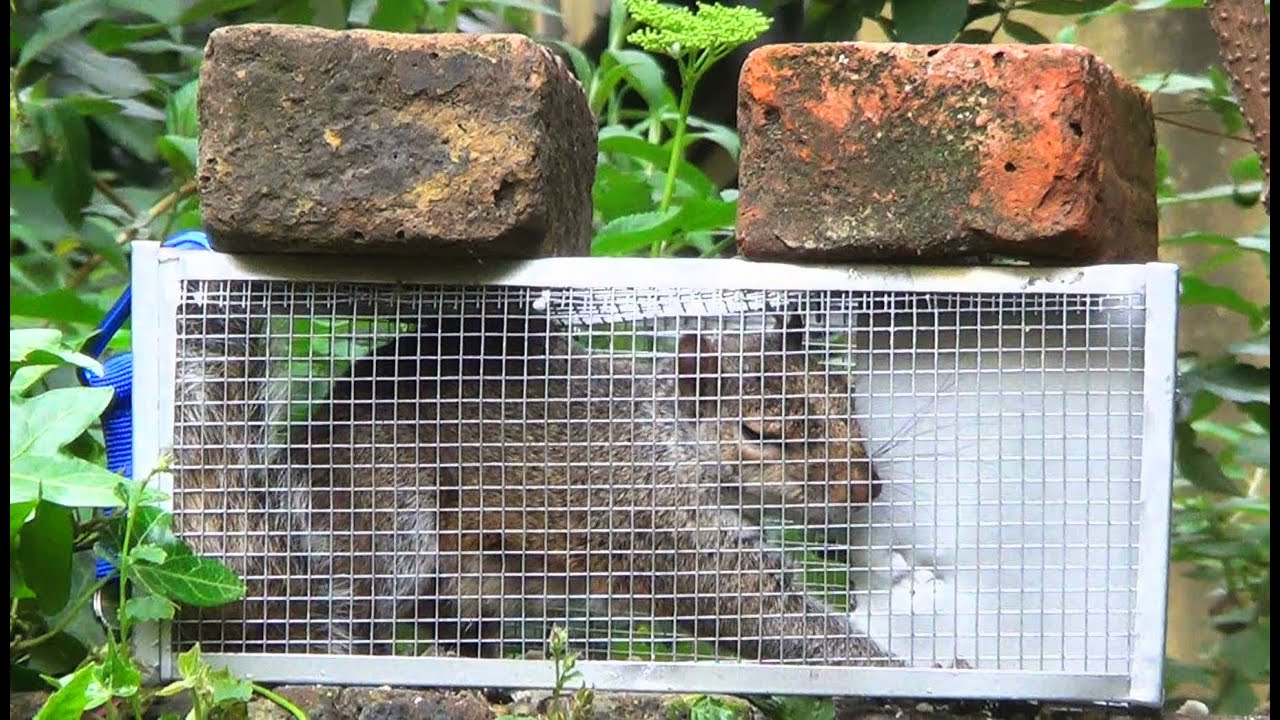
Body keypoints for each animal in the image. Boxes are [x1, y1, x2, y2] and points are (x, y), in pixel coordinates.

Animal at [170, 292, 899, 666]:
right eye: (758, 431)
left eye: (844, 393)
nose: (867, 486)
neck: (667, 437)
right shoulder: (669, 529)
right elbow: (760, 612)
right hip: (390, 515)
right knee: (355, 613)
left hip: (475, 579)